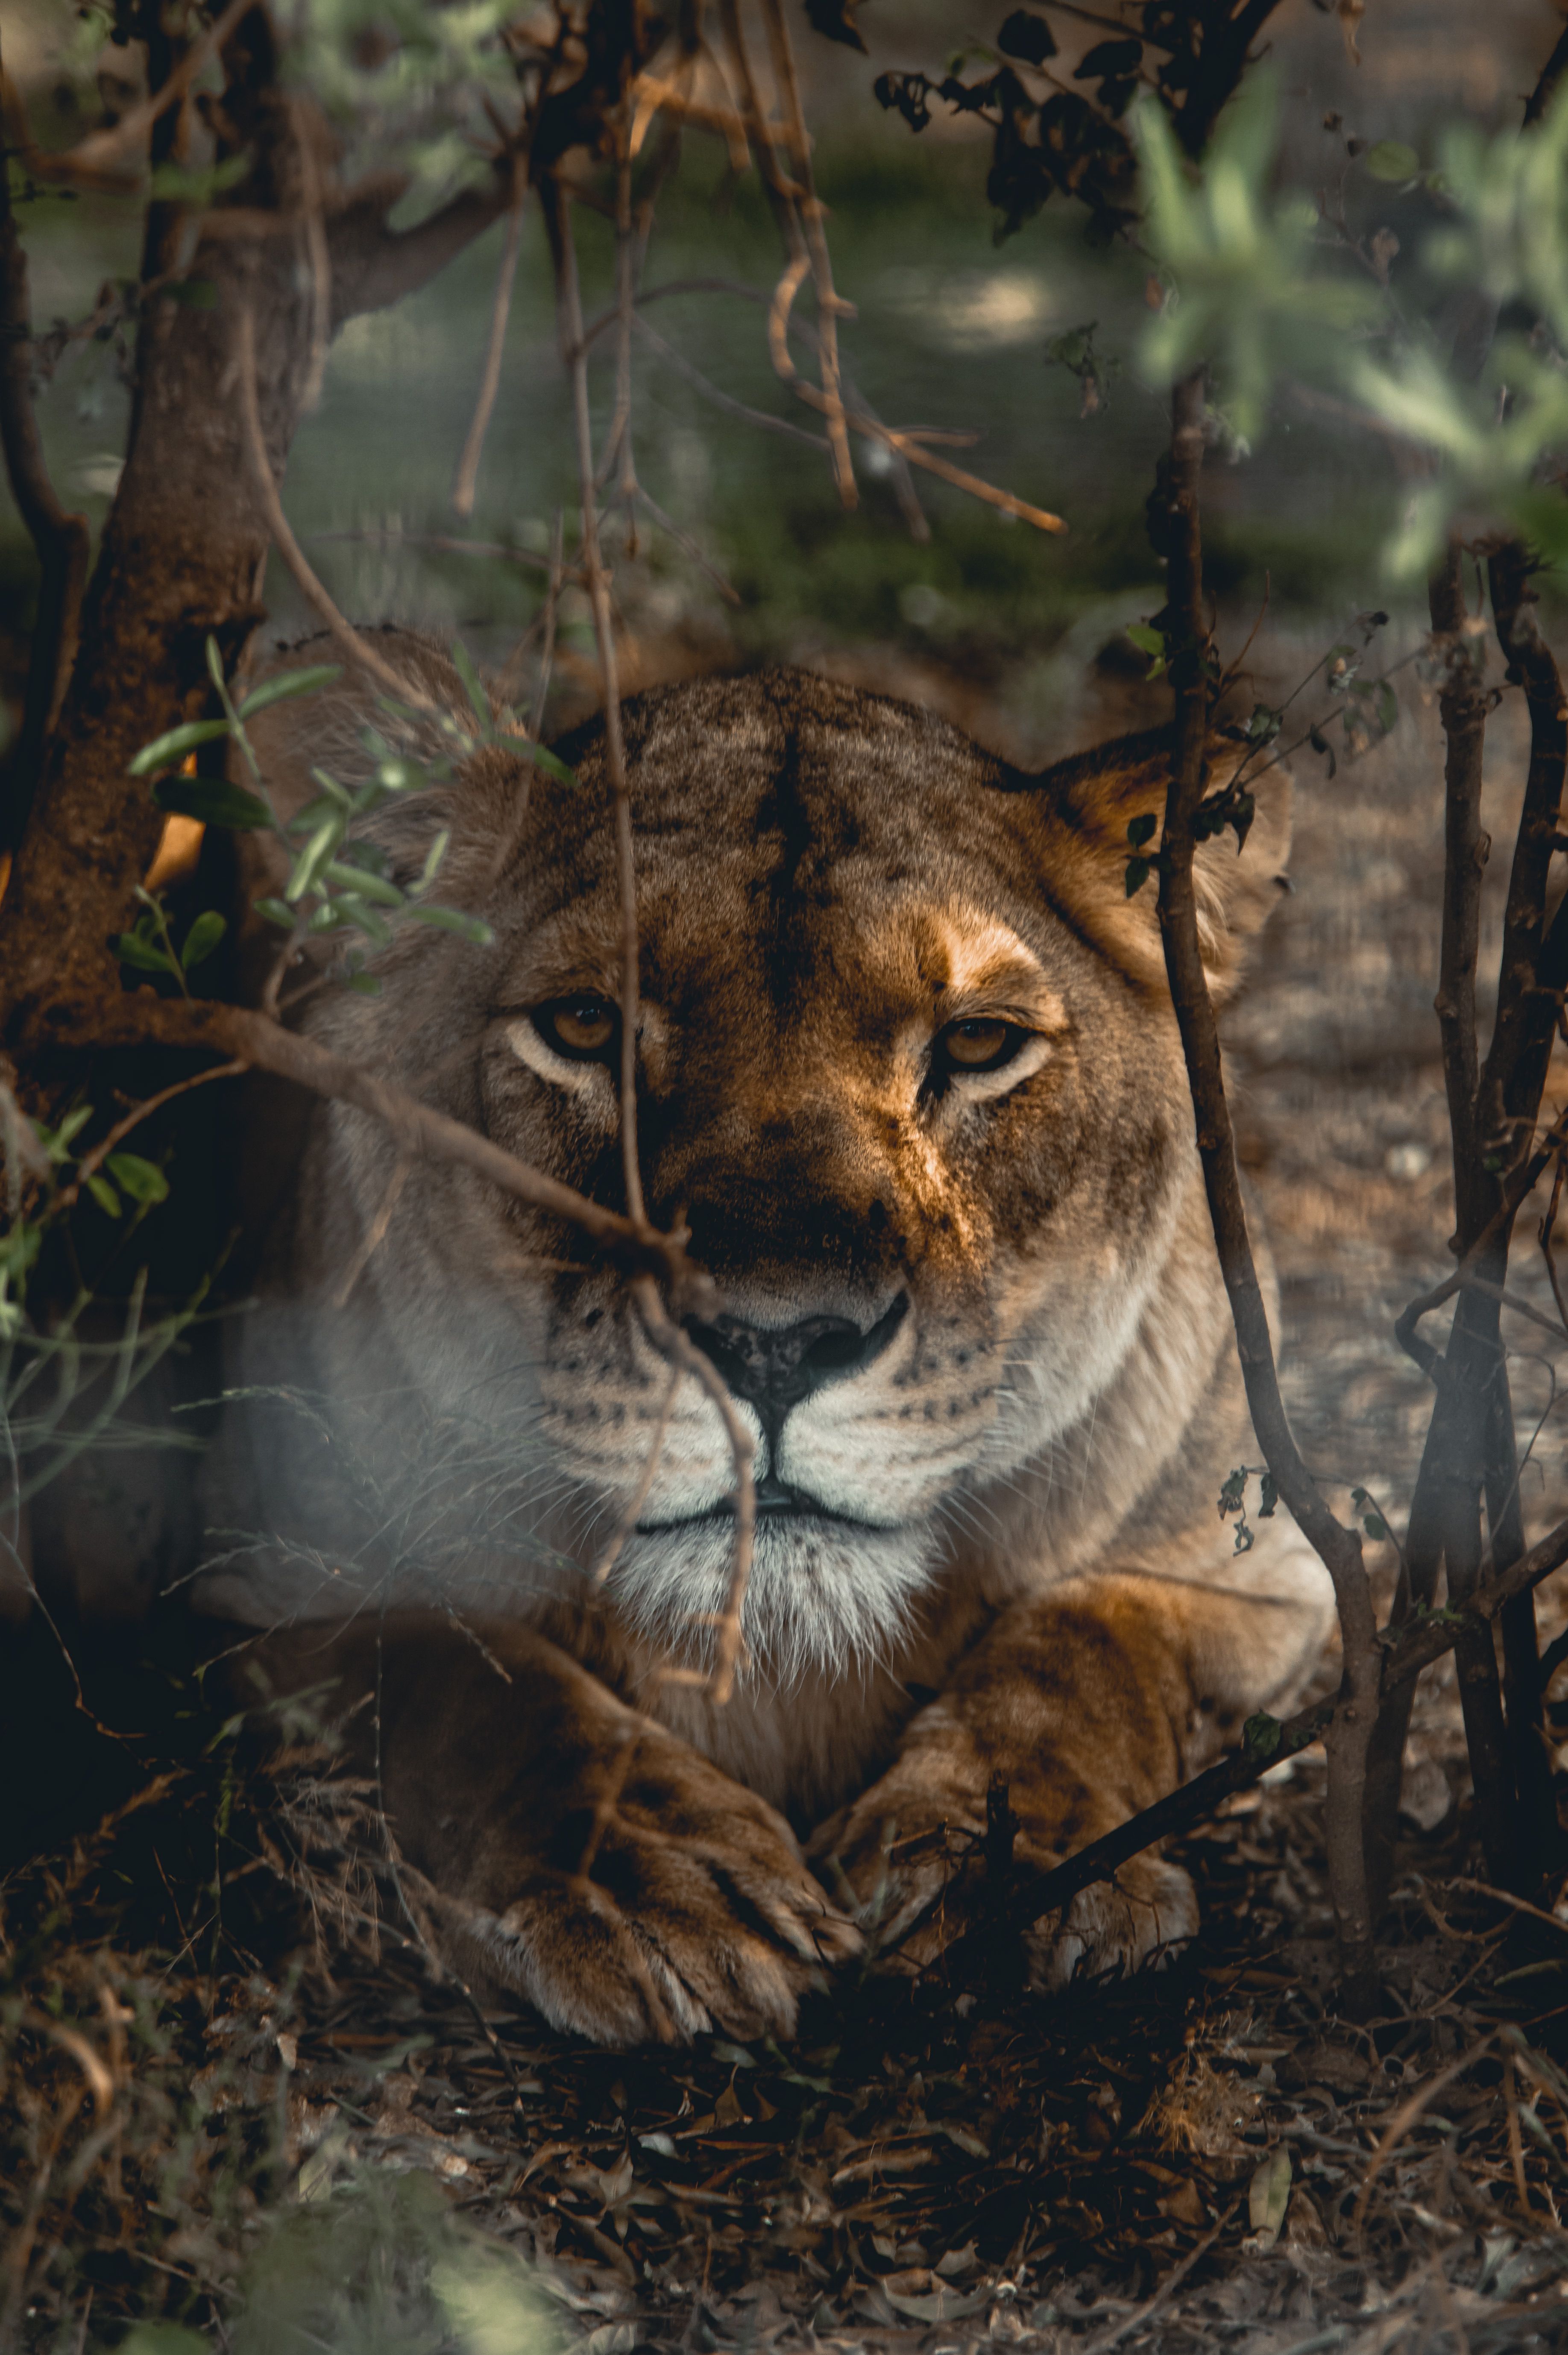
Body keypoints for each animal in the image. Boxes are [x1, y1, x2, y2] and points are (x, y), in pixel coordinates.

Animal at [200, 640, 1335, 2046]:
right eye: (581, 1028)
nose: (776, 1342)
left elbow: (1083, 1643)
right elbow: (460, 1675)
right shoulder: (245, 1572)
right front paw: (652, 1877)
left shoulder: (1253, 1568)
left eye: (976, 1043)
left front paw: (1001, 1859)